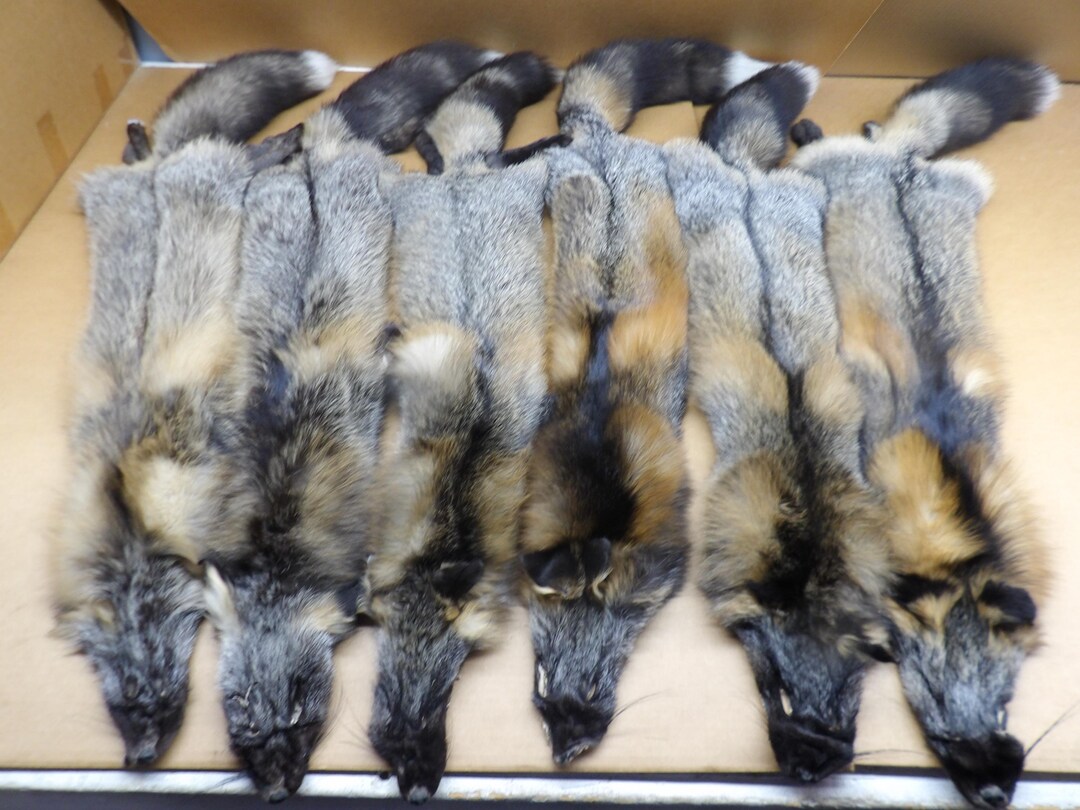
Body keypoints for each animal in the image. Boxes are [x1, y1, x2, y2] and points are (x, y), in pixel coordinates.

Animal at [51, 50, 338, 769]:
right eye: (120, 702)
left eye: (152, 692)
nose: (138, 761)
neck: (128, 520)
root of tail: (163, 173)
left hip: (223, 180)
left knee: (238, 154)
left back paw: (284, 143)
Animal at [518, 38, 772, 766]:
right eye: (541, 682)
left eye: (598, 682)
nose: (563, 756)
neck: (589, 525)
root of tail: (602, 144)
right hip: (576, 221)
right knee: (572, 179)